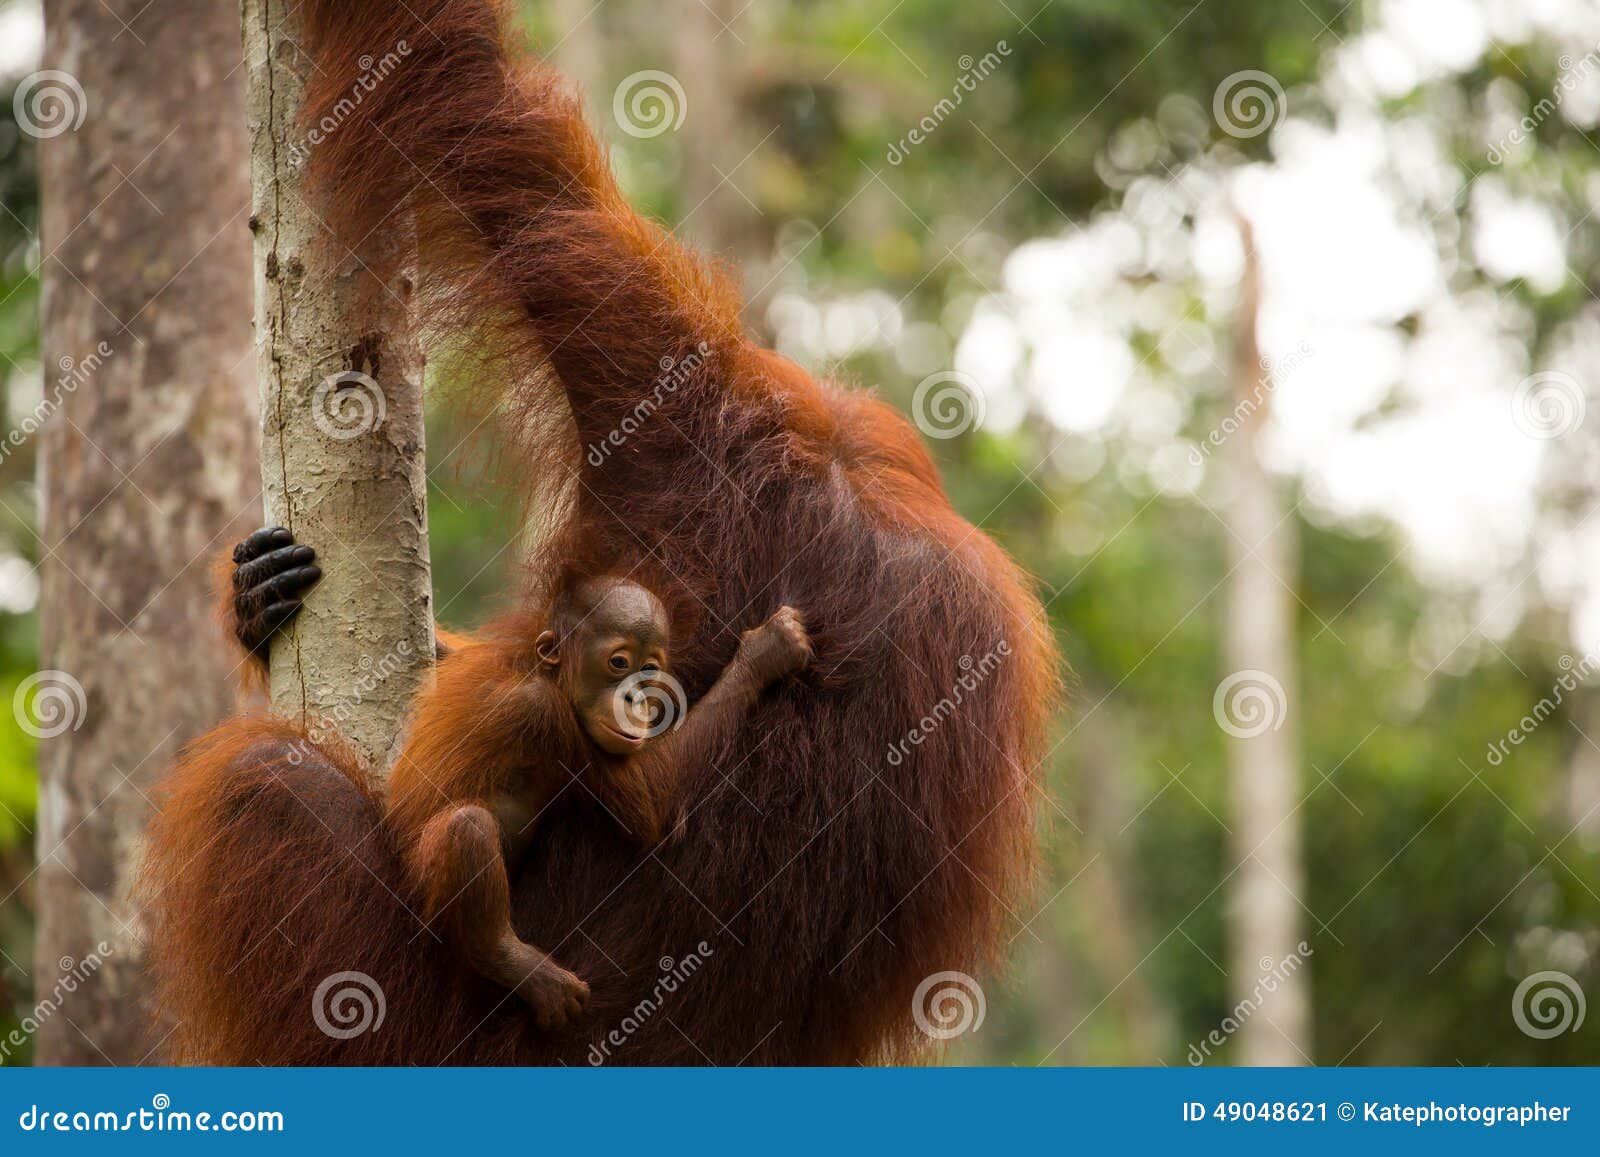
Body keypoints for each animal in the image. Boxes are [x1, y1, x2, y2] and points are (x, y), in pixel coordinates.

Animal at [230, 527, 812, 1031]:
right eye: (618, 663)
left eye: (652, 670)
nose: (639, 702)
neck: (544, 671)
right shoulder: (547, 718)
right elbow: (651, 806)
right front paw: (765, 653)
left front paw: (258, 598)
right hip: (414, 902)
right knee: (467, 828)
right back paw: (517, 967)